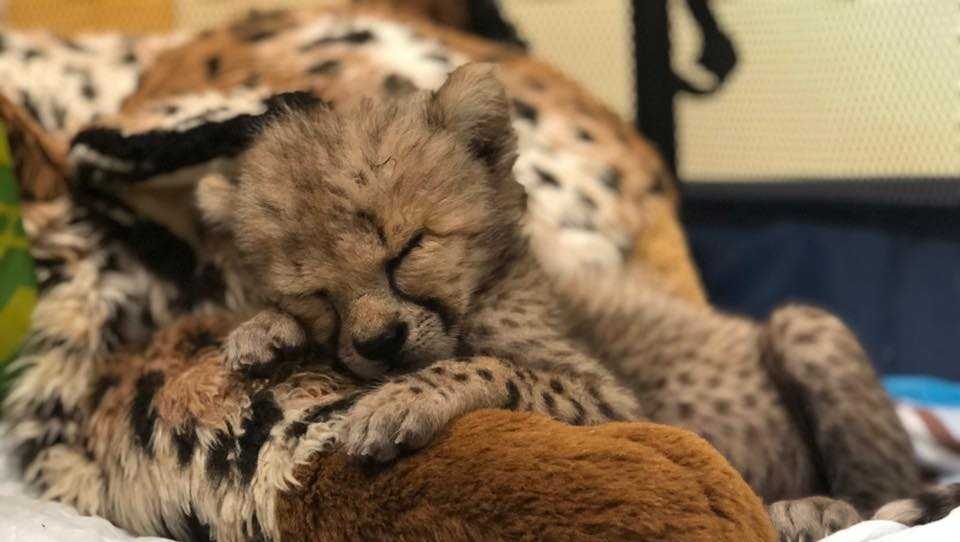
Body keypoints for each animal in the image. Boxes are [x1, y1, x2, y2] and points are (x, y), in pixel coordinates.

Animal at [196, 62, 958, 539]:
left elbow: (499, 368)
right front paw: (264, 332)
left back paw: (817, 510)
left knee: (879, 493)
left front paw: (403, 400)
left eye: (409, 247)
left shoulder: (621, 406)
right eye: (317, 293)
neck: (485, 286)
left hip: (808, 327)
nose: (381, 343)